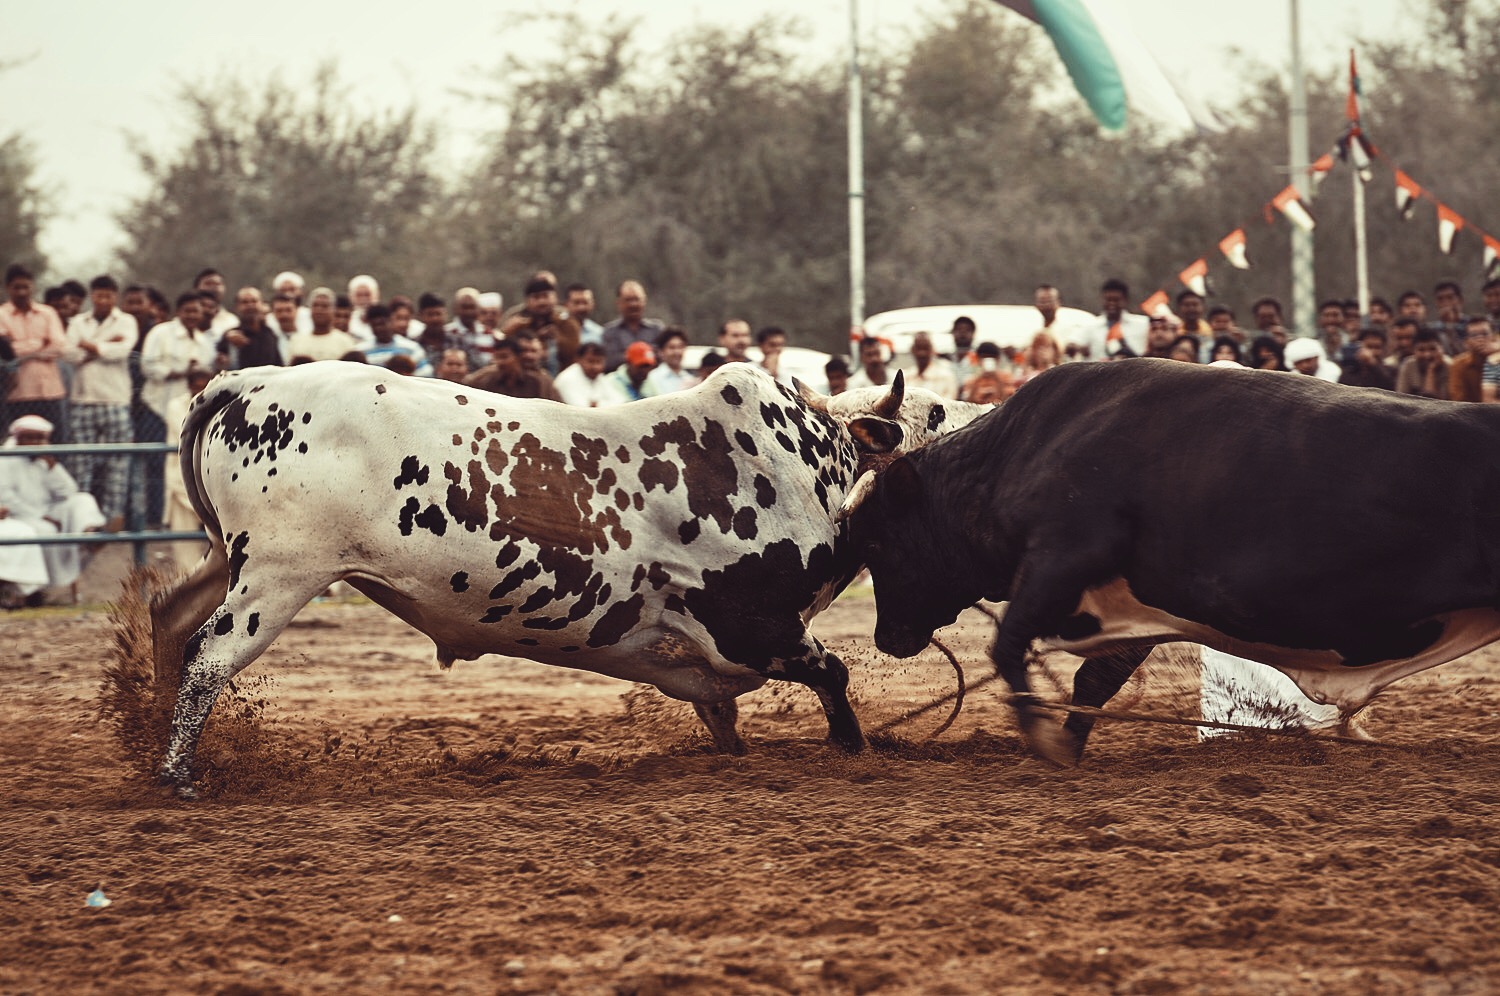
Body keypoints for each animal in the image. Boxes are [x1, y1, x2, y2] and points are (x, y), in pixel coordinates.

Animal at [154, 361, 989, 796]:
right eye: (933, 411)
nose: (999, 410)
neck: (809, 465)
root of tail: (251, 380)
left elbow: (725, 717)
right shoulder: (755, 629)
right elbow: (833, 673)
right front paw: (854, 749)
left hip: (226, 562)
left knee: (167, 625)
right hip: (278, 577)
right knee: (207, 658)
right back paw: (175, 774)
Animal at [840, 358, 1500, 763]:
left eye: (875, 544)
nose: (886, 637)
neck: (1019, 450)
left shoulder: (1062, 556)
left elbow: (1008, 648)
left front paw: (1042, 737)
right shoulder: (1125, 603)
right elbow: (1093, 681)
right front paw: (1069, 744)